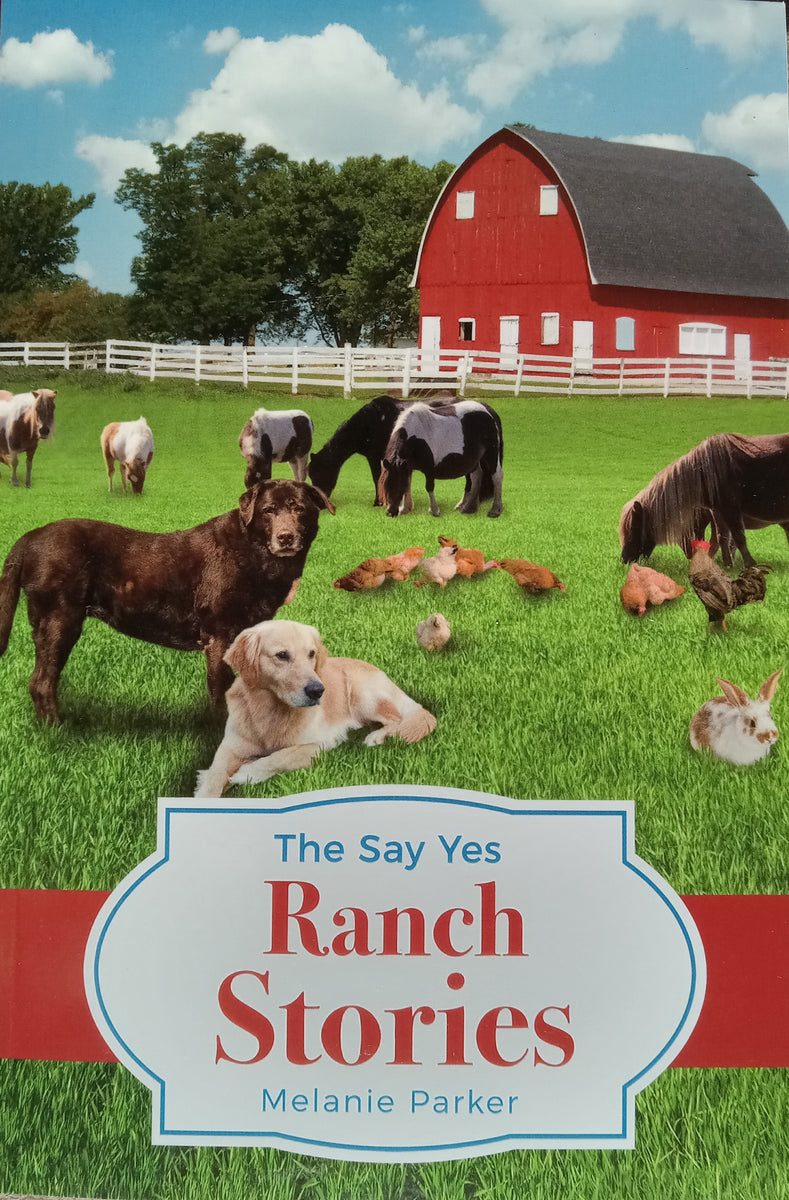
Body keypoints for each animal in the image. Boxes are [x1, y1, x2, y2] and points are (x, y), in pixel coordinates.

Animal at [619, 432, 789, 567]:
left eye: (634, 528)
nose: (624, 560)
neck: (706, 472)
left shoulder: (731, 509)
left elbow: (738, 536)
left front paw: (750, 564)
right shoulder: (718, 512)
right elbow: (723, 537)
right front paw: (727, 565)